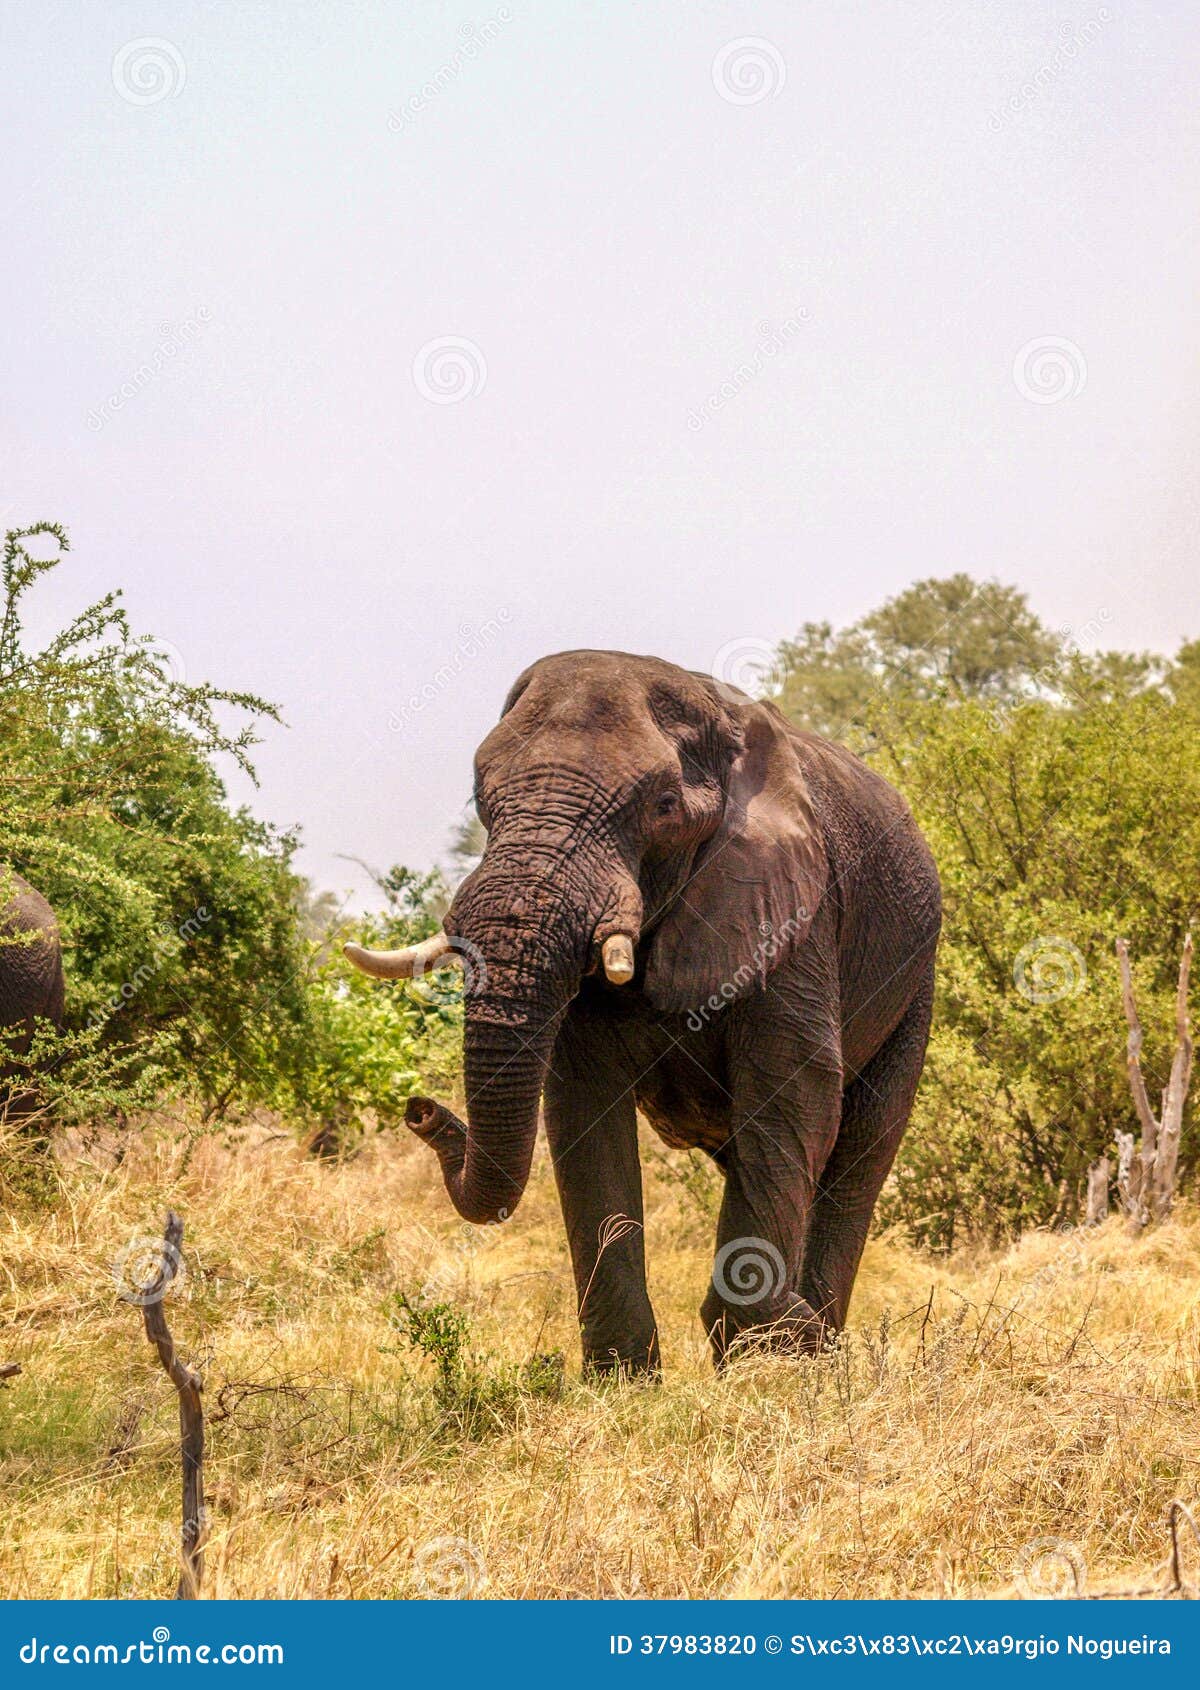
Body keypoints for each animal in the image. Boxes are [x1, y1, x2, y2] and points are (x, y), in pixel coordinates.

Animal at [346, 651, 940, 1374]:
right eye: (483, 802)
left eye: (662, 807)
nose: (420, 1109)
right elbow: (584, 1111)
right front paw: (623, 1380)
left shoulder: (793, 911)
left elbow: (792, 1094)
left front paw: (777, 1349)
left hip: (914, 980)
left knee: (857, 1154)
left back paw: (816, 1343)